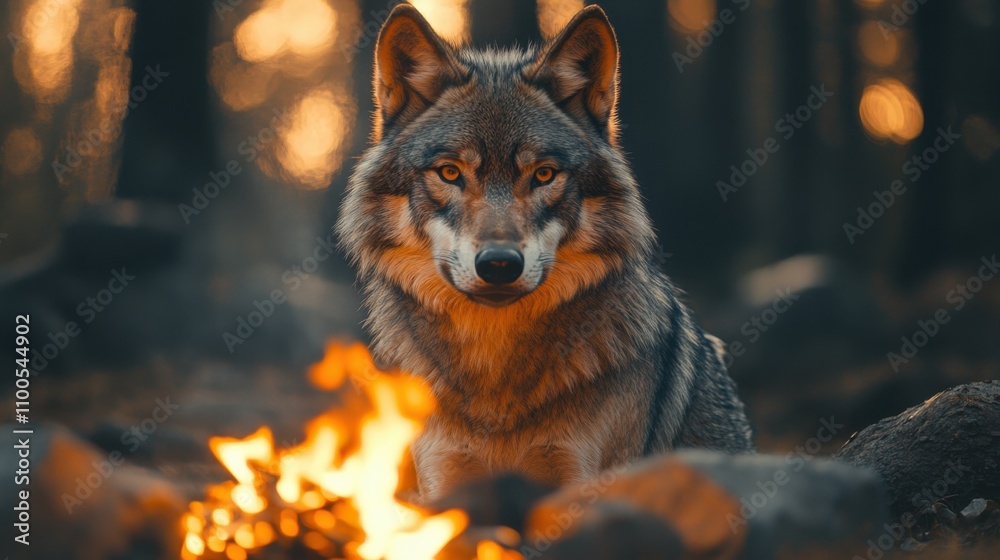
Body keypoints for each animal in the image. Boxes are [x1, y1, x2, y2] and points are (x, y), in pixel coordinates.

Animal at [338, 4, 754, 500]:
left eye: (543, 174)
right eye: (450, 172)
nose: (499, 265)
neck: (496, 371)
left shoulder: (583, 483)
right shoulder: (445, 485)